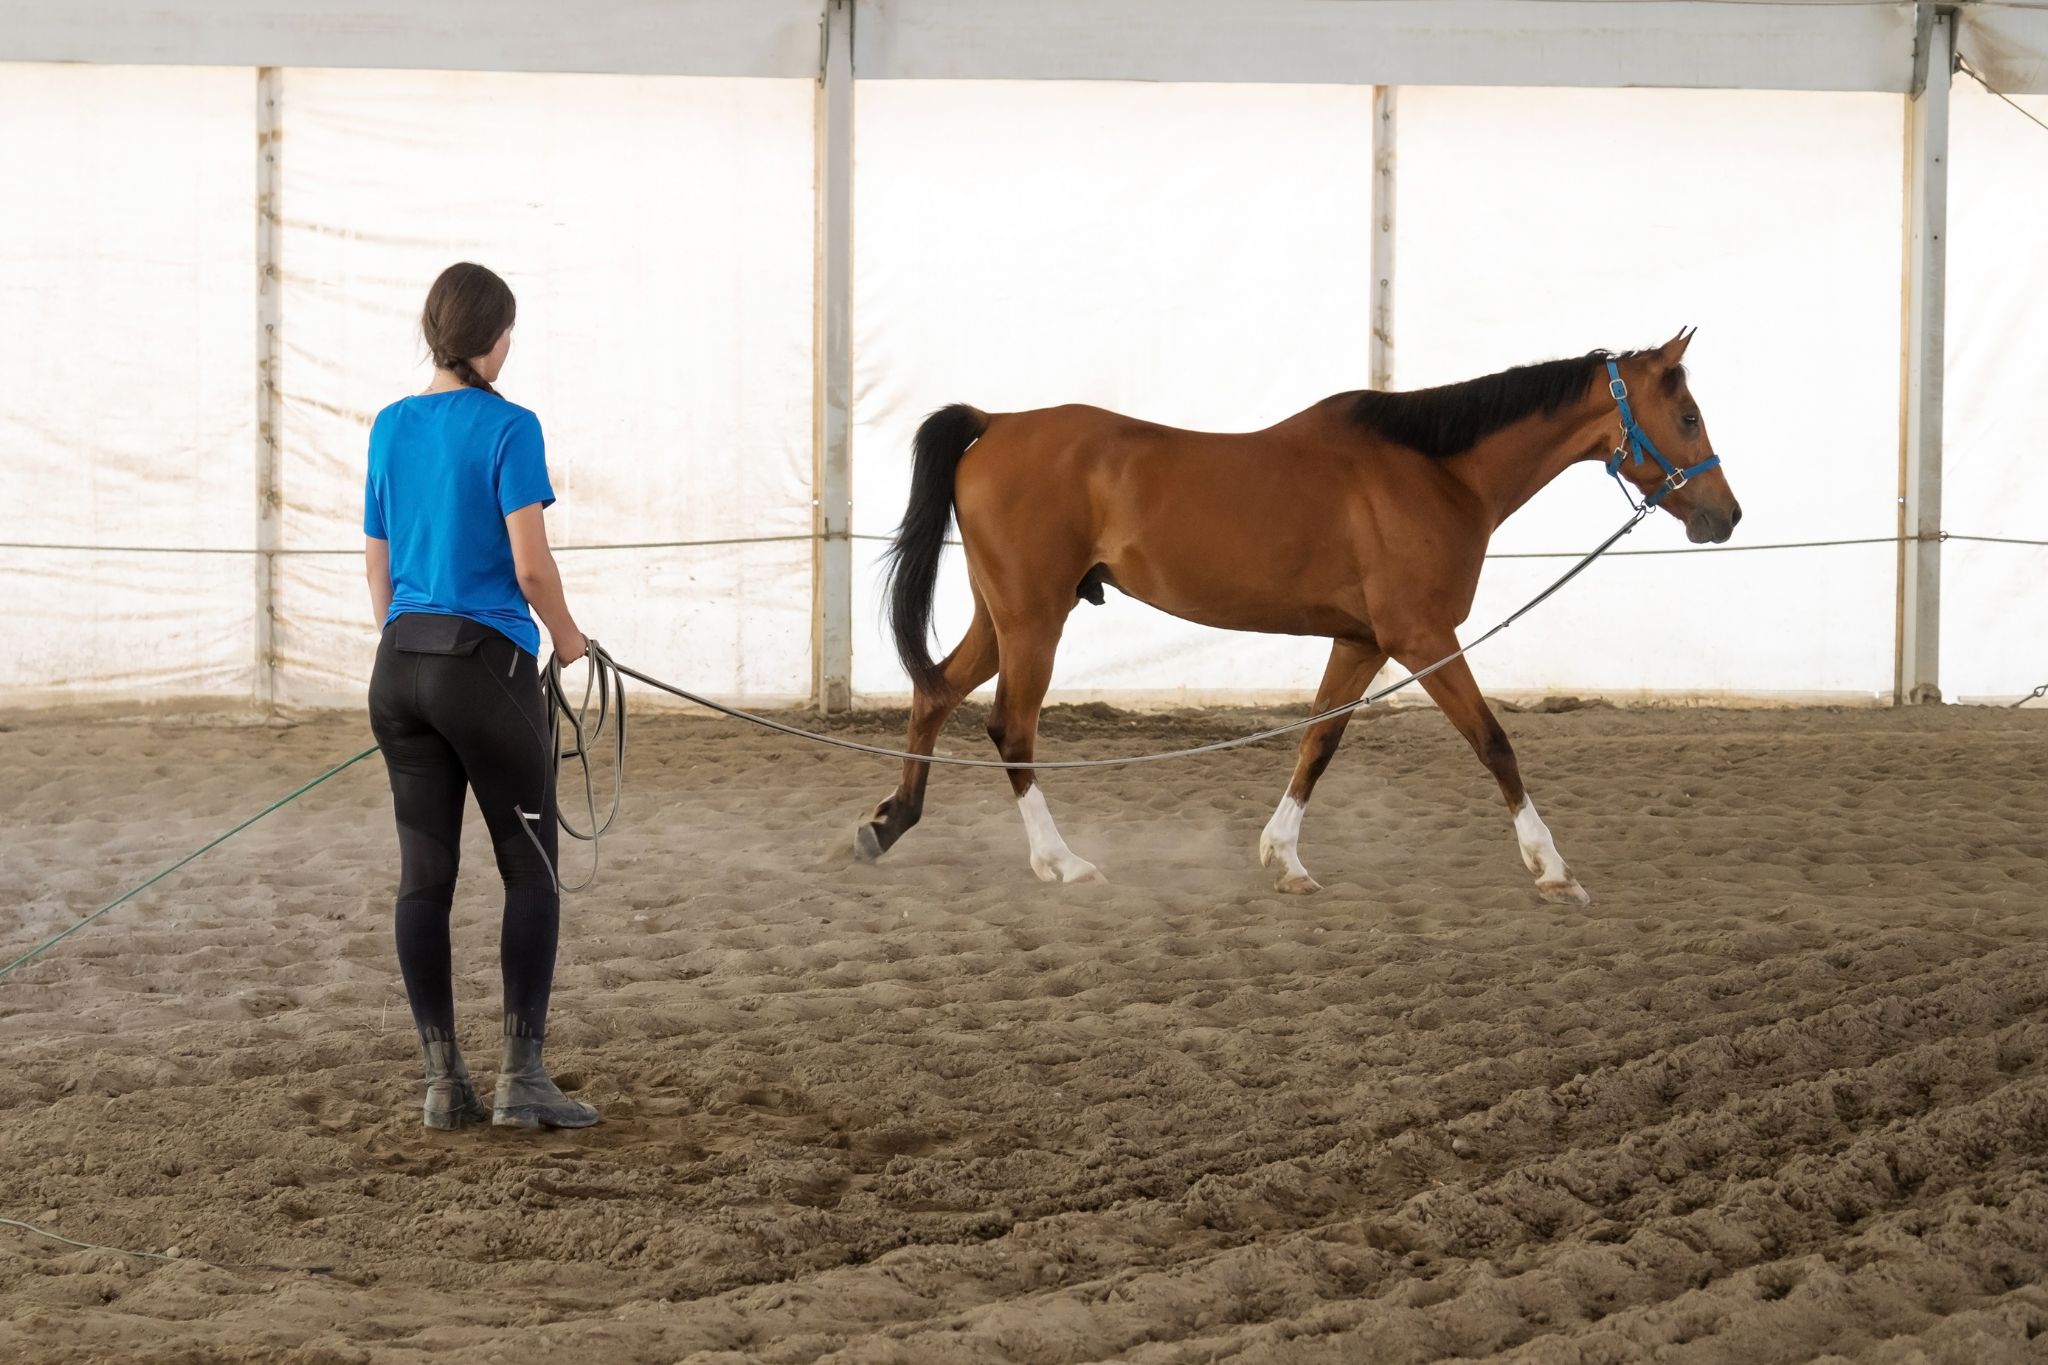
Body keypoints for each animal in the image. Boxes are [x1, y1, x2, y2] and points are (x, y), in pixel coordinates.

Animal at [852, 330, 1739, 901]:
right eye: (1689, 417)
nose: (1725, 516)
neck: (1436, 470)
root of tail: (996, 424)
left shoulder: (1361, 641)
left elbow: (1319, 742)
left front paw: (1283, 858)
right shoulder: (1424, 638)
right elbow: (1494, 742)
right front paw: (1552, 867)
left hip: (1004, 616)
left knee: (935, 692)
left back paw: (888, 823)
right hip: (1035, 619)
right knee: (1012, 728)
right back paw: (1061, 862)